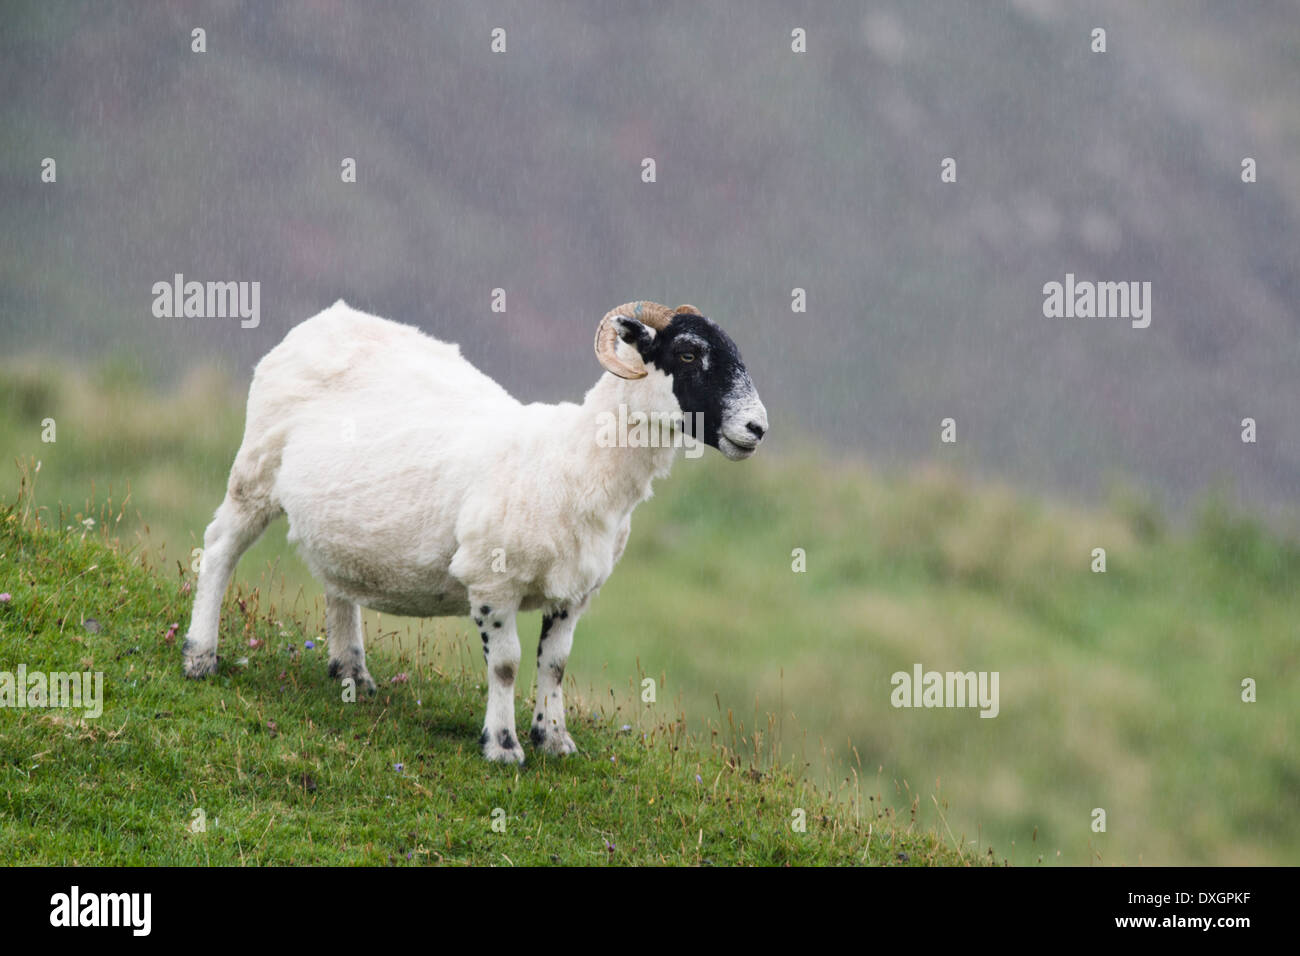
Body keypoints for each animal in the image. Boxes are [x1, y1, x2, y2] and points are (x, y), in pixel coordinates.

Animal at [181, 299, 768, 763]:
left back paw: (353, 675)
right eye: (688, 354)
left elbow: (555, 665)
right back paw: (199, 656)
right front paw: (503, 747)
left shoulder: (575, 593)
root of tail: (326, 319)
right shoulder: (491, 581)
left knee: (336, 583)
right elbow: (506, 665)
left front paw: (555, 741)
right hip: (255, 470)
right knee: (219, 549)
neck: (573, 462)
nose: (757, 428)